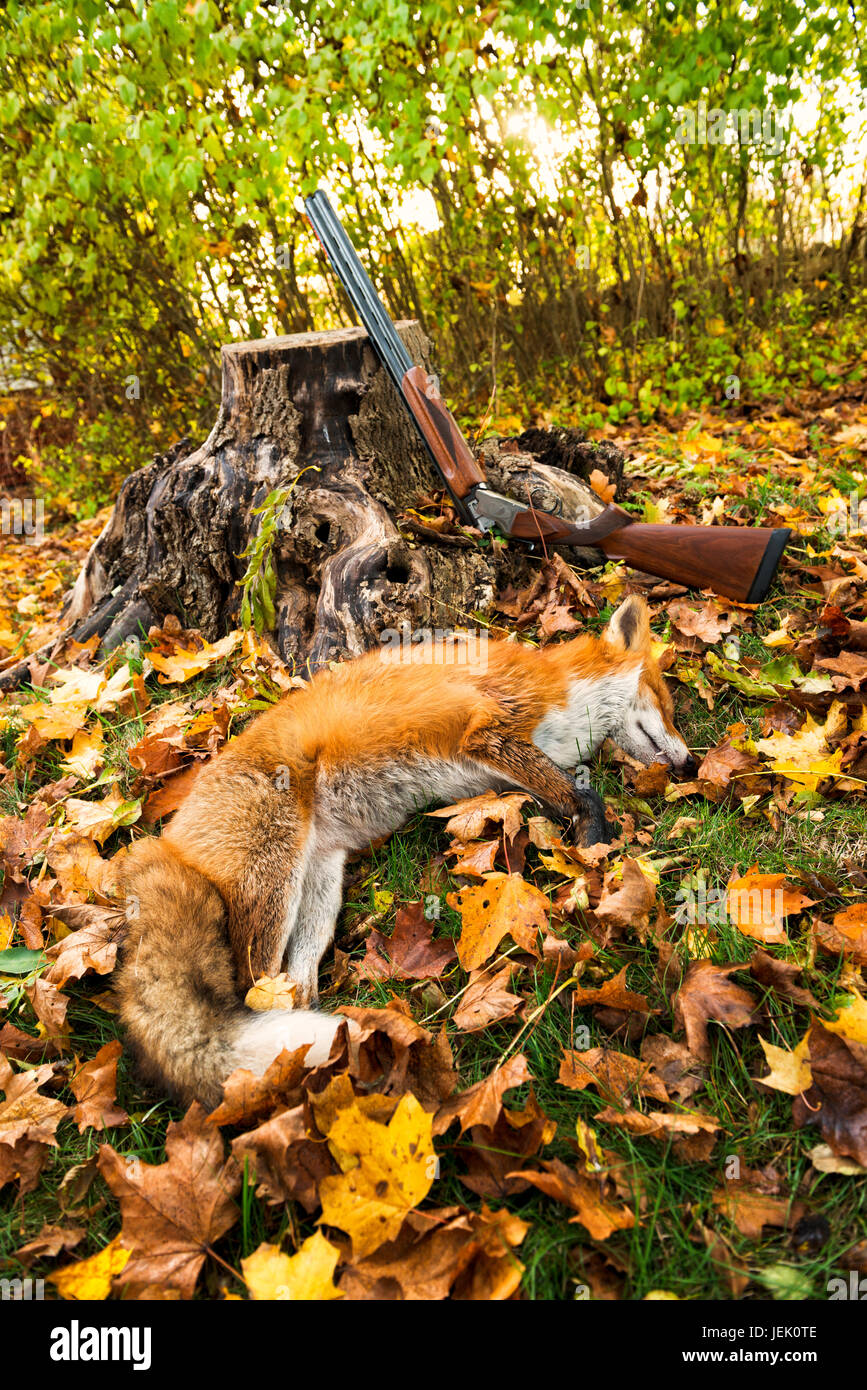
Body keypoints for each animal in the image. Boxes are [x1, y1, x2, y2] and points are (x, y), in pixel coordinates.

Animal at [115, 593, 693, 1108]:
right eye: (666, 704)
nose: (689, 764)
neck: (558, 692)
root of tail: (167, 840)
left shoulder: (496, 775)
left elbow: (561, 792)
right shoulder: (490, 733)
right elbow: (580, 795)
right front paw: (595, 846)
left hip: (319, 885)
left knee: (292, 985)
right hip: (273, 876)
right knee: (251, 987)